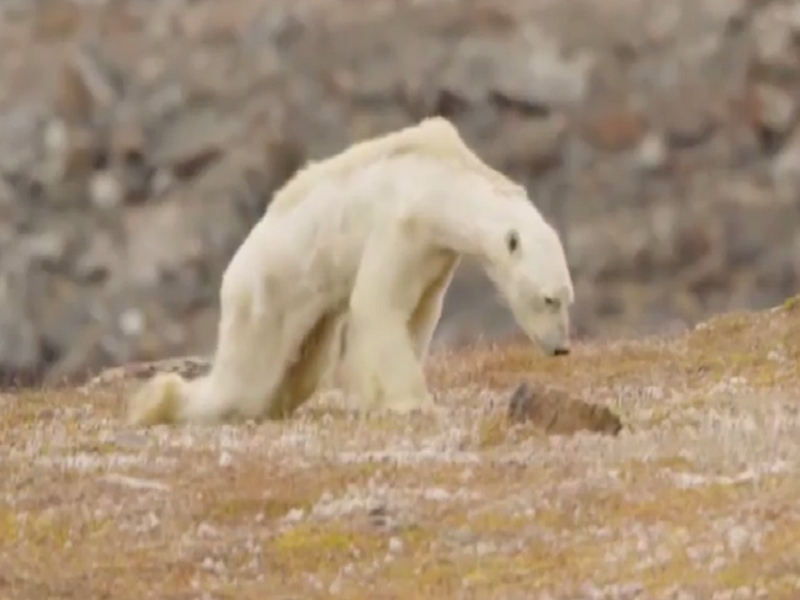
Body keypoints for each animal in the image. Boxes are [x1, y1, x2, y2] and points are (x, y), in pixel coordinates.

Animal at [126, 116, 574, 426]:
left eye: (568, 298)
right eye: (548, 298)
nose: (561, 348)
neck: (439, 180)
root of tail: (232, 272)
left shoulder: (436, 253)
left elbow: (419, 314)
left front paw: (372, 397)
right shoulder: (401, 226)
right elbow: (379, 304)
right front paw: (415, 403)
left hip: (308, 317)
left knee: (298, 373)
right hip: (266, 294)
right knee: (245, 382)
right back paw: (156, 402)